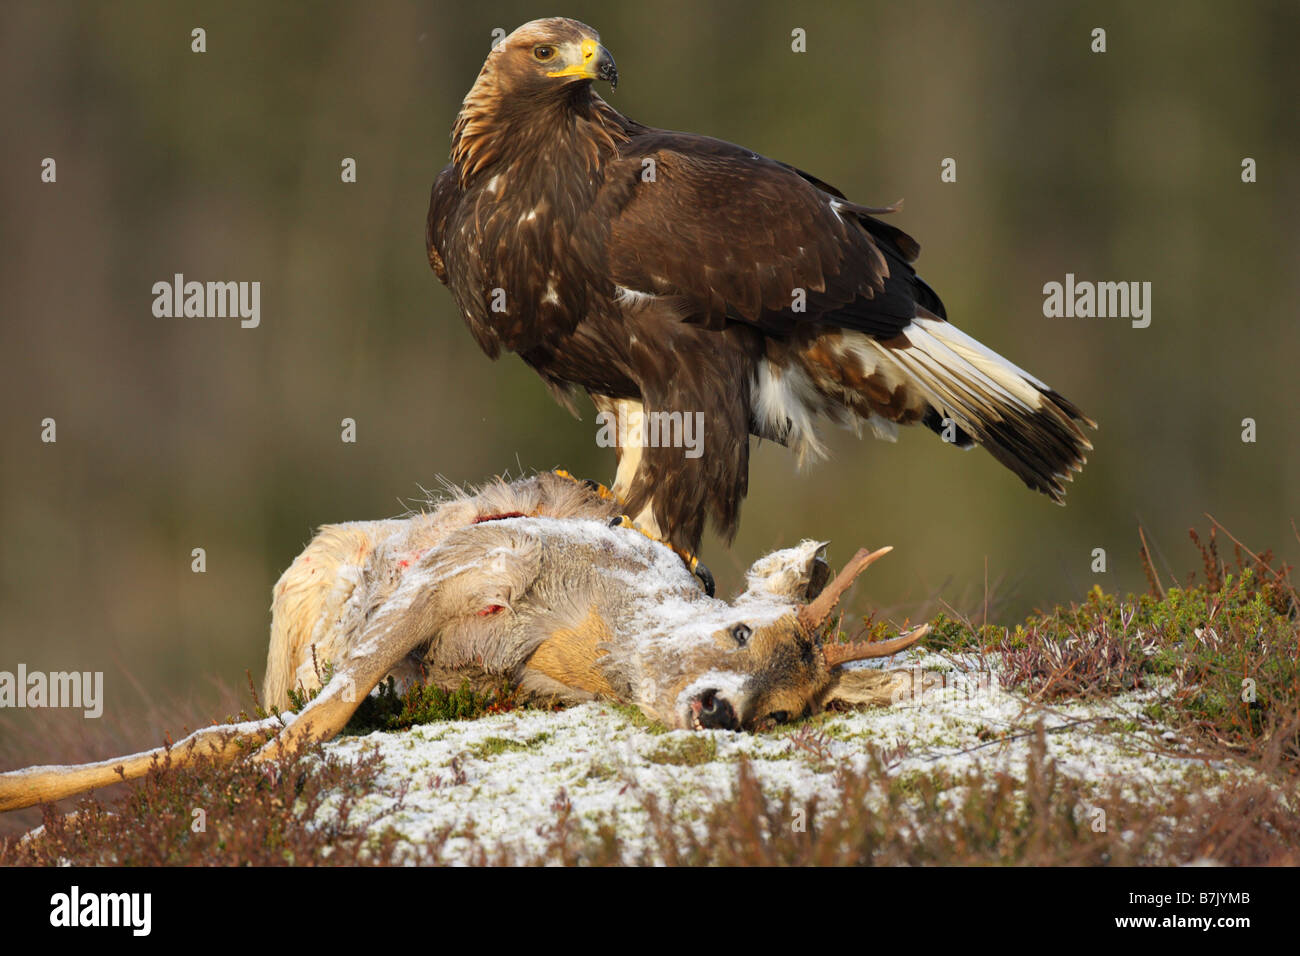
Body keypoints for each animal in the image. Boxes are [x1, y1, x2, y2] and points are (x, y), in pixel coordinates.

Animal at [0, 471, 927, 813]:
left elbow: (220, 740)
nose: (721, 712)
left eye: (783, 714)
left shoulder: (445, 688)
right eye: (740, 629)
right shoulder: (468, 565)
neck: (574, 633)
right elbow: (315, 714)